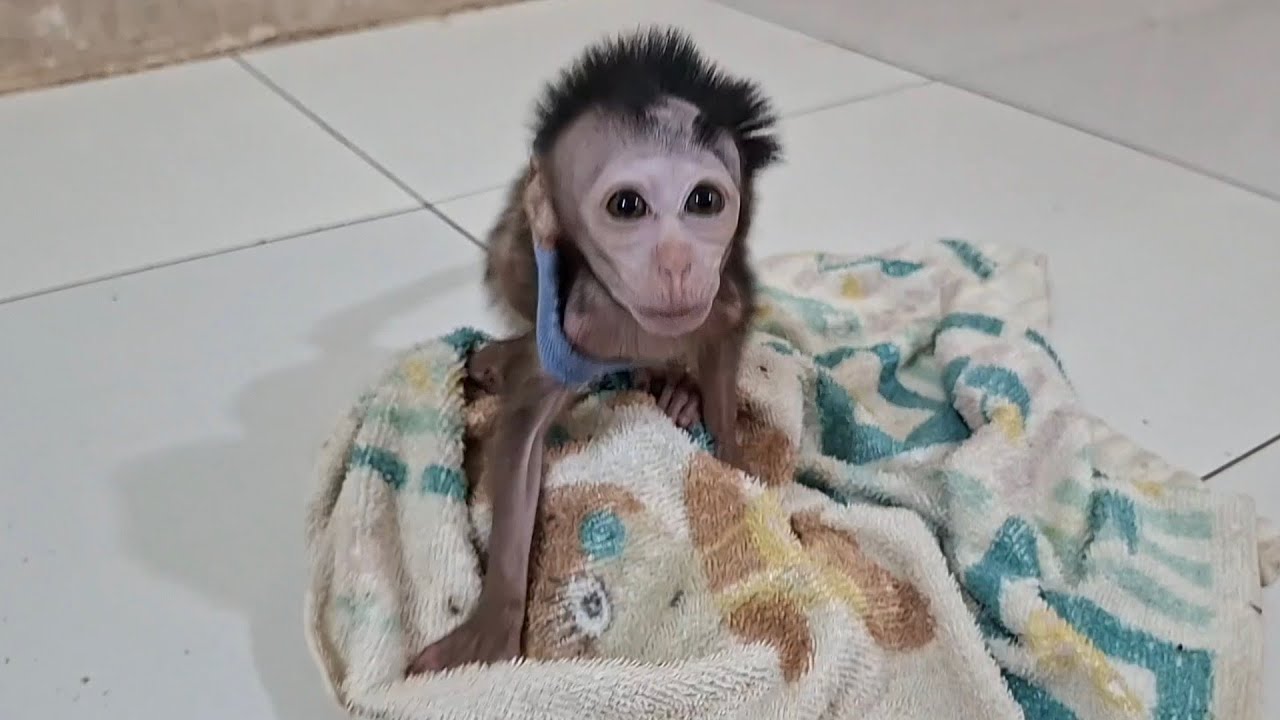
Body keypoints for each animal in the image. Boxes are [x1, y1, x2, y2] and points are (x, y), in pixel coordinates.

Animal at [407, 27, 781, 675]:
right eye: (628, 206)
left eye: (704, 201)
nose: (677, 264)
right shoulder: (572, 324)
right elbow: (523, 439)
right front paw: (493, 625)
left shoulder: (725, 297)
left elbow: (723, 365)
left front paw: (733, 457)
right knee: (515, 260)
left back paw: (674, 389)